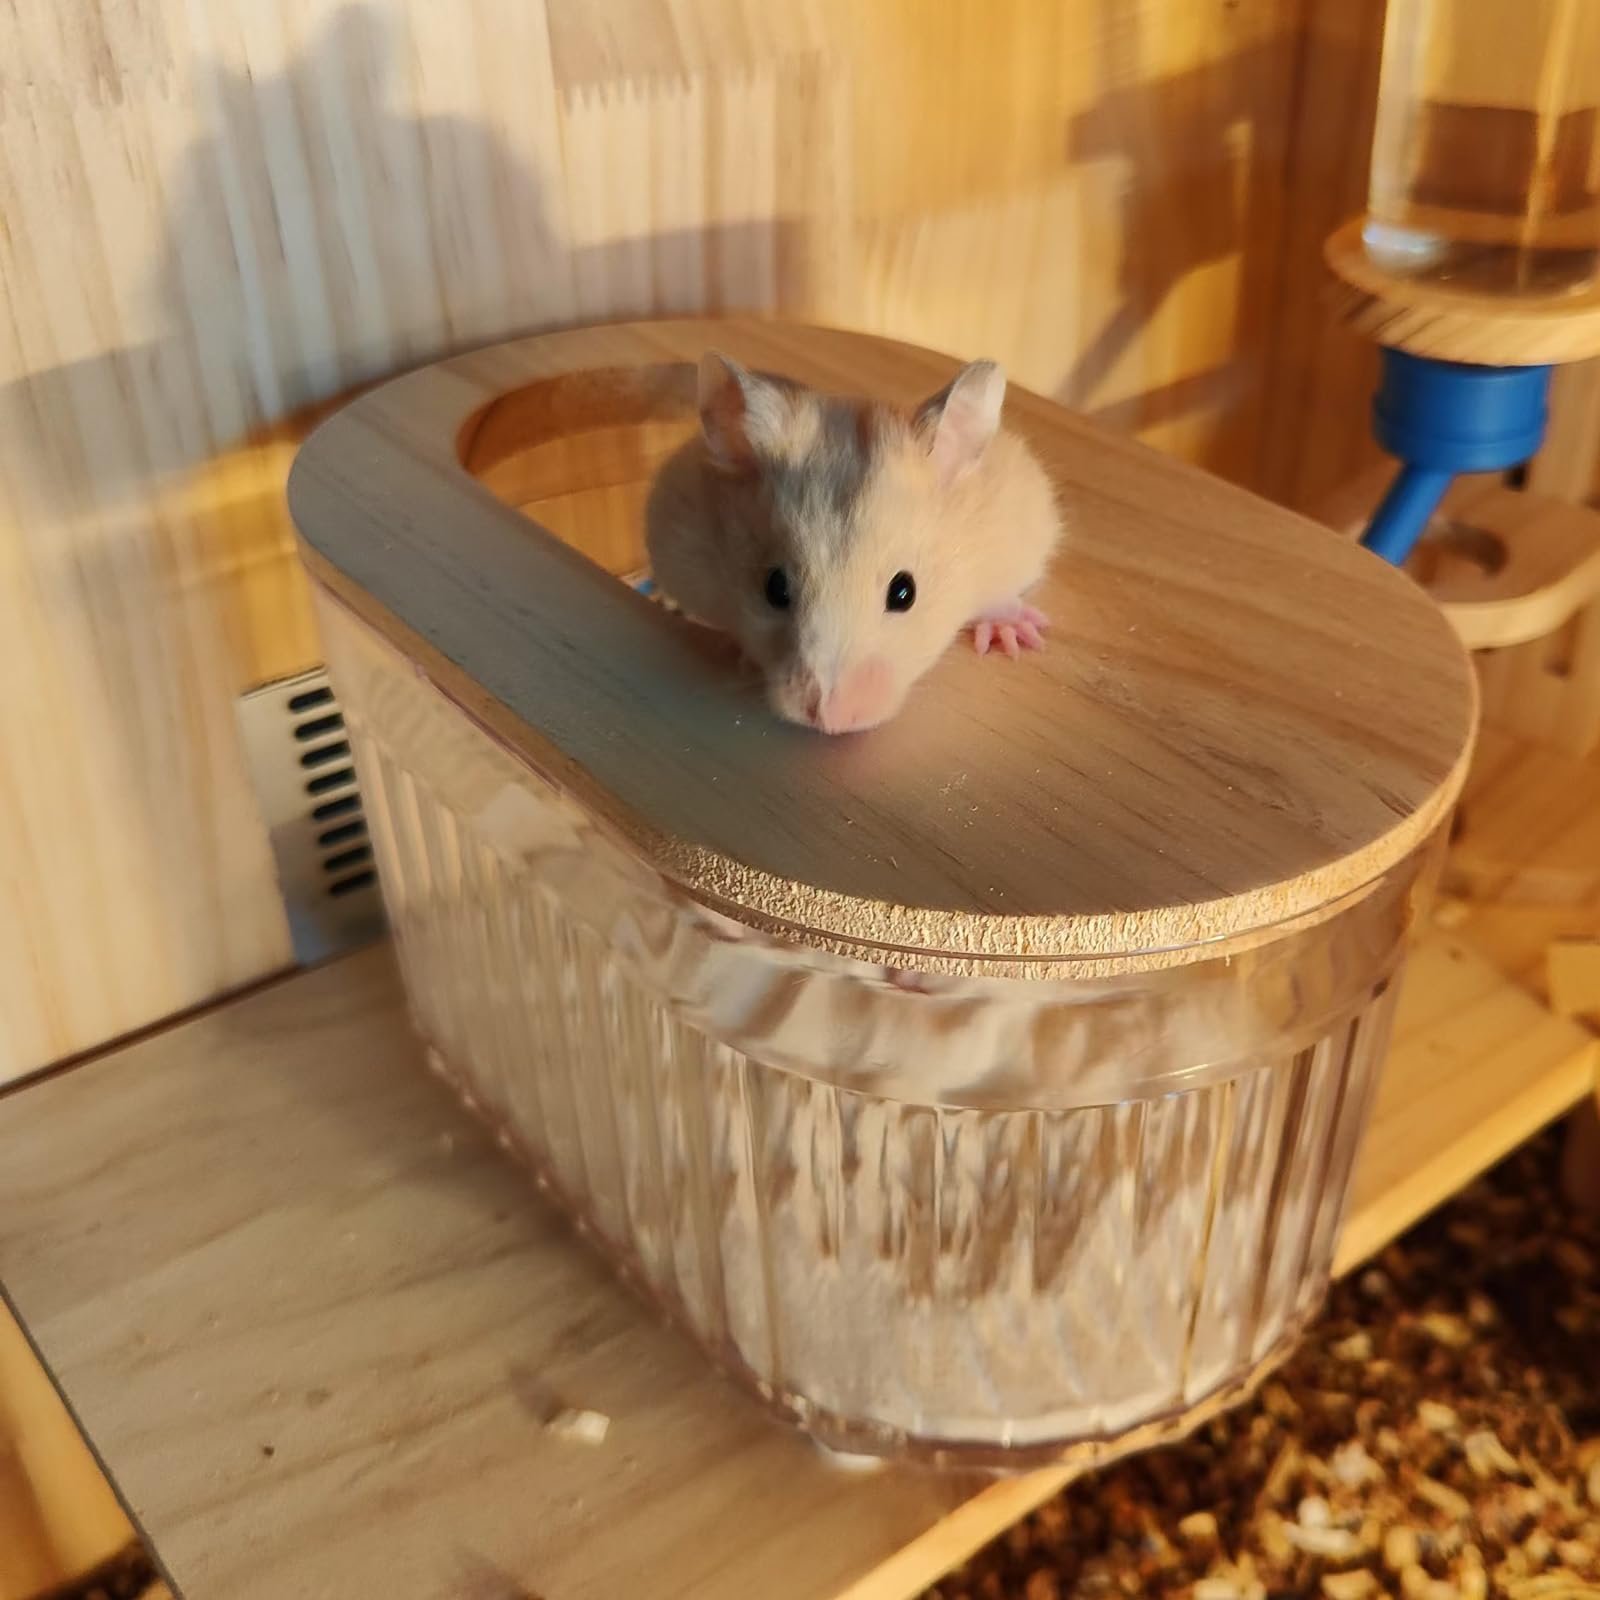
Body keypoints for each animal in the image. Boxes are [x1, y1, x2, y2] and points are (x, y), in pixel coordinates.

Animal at [644, 350, 1062, 734]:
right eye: (774, 588)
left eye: (904, 593)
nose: (831, 722)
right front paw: (742, 657)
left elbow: (1001, 600)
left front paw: (1020, 639)